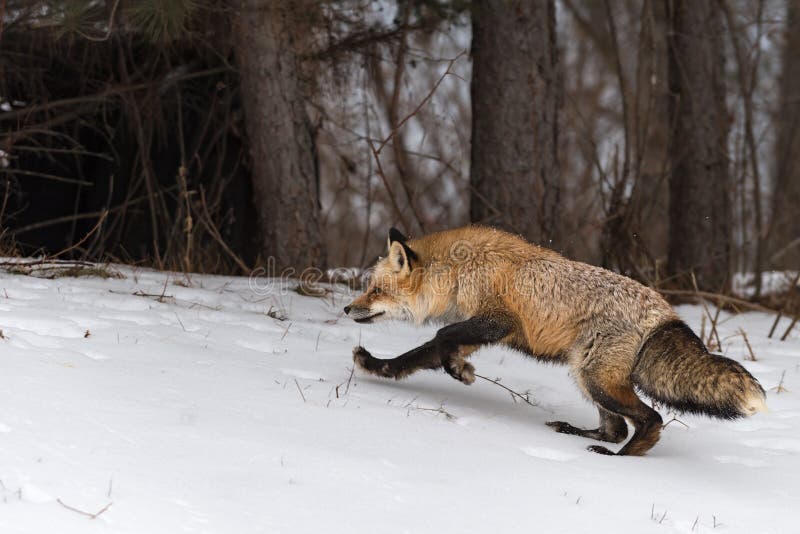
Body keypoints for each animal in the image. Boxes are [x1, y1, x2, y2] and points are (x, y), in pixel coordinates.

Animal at [343, 225, 767, 456]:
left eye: (375, 290)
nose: (348, 309)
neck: (460, 268)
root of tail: (666, 312)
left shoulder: (498, 320)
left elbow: (440, 335)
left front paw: (459, 371)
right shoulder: (478, 327)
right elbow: (418, 354)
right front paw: (377, 366)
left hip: (596, 380)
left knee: (651, 420)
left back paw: (619, 459)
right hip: (586, 376)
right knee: (616, 428)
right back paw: (573, 433)